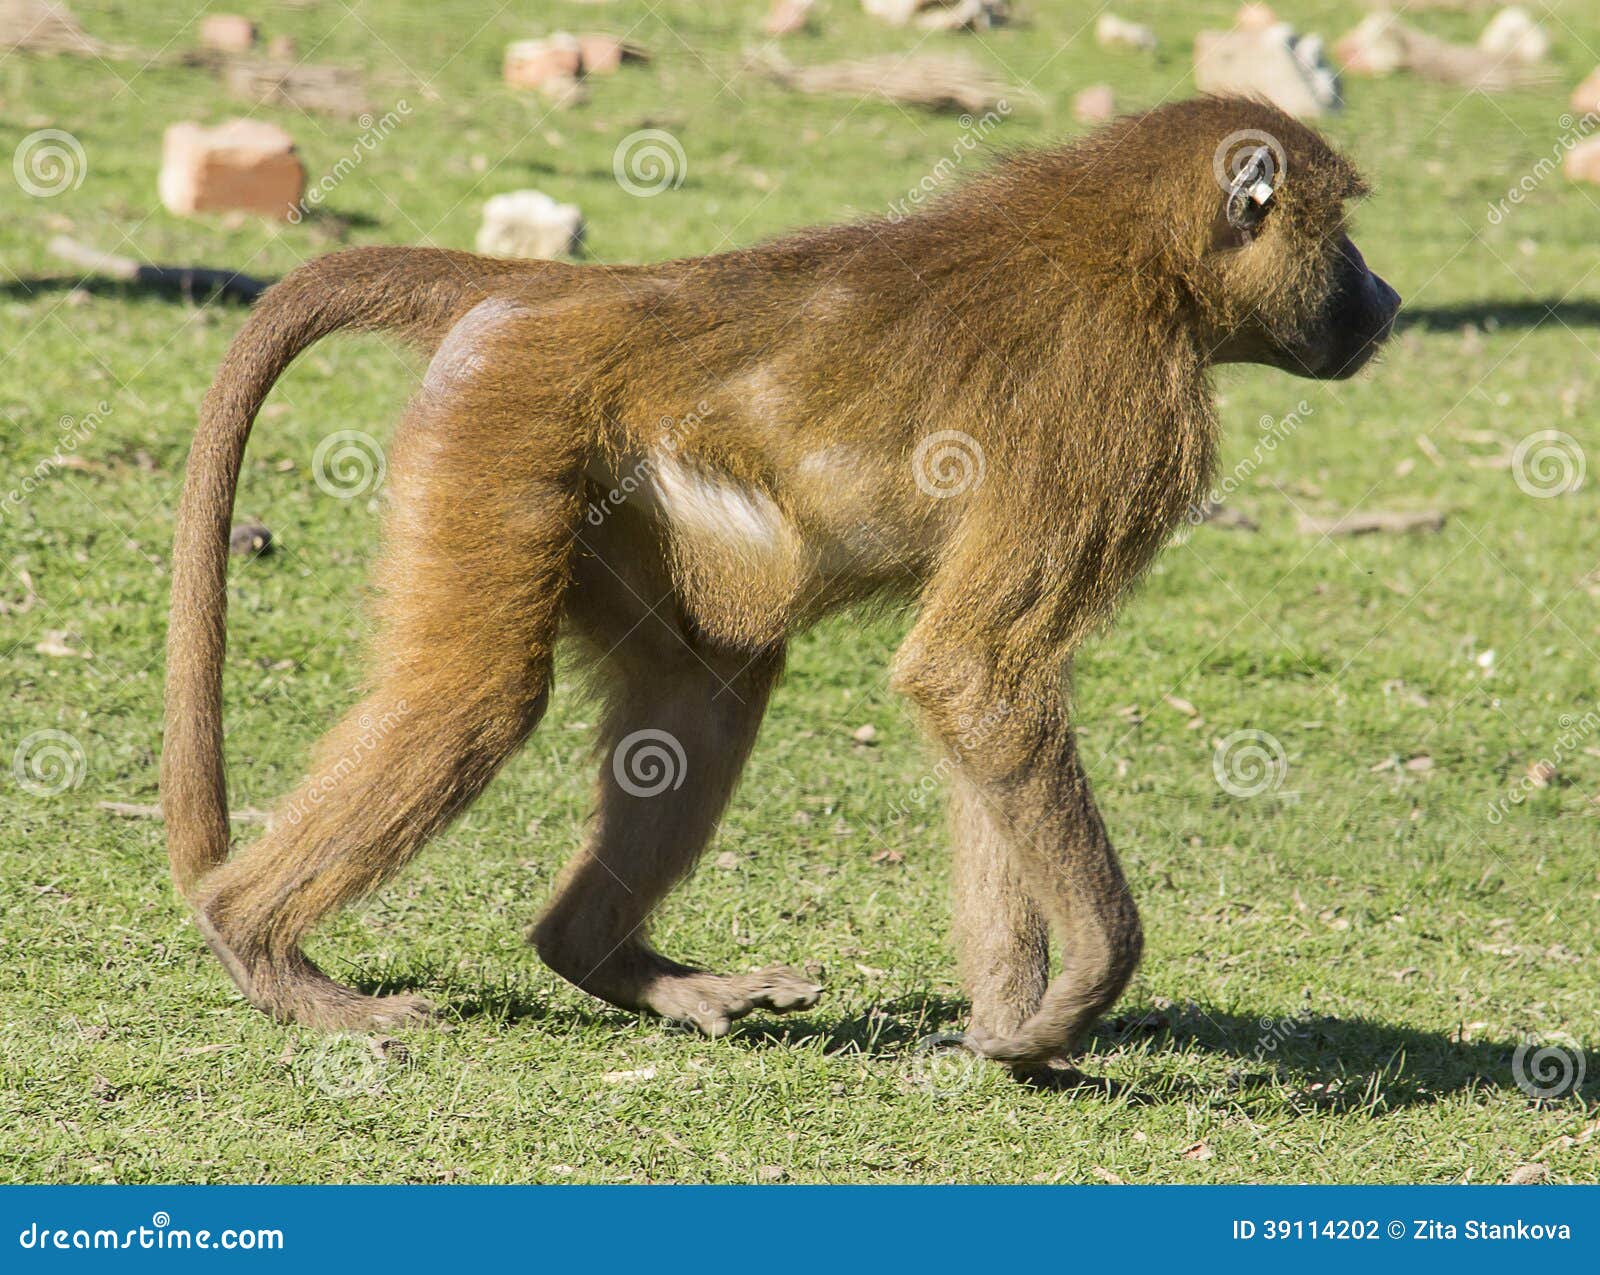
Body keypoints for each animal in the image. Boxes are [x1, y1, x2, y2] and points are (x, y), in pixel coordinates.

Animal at [161, 97, 1398, 1072]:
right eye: (1339, 234)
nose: (1384, 300)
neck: (1138, 259)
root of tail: (570, 295)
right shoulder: (1121, 415)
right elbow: (976, 668)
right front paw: (1081, 991)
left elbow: (973, 700)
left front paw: (1016, 1038)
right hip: (502, 427)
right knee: (478, 698)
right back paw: (261, 951)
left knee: (707, 691)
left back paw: (607, 961)